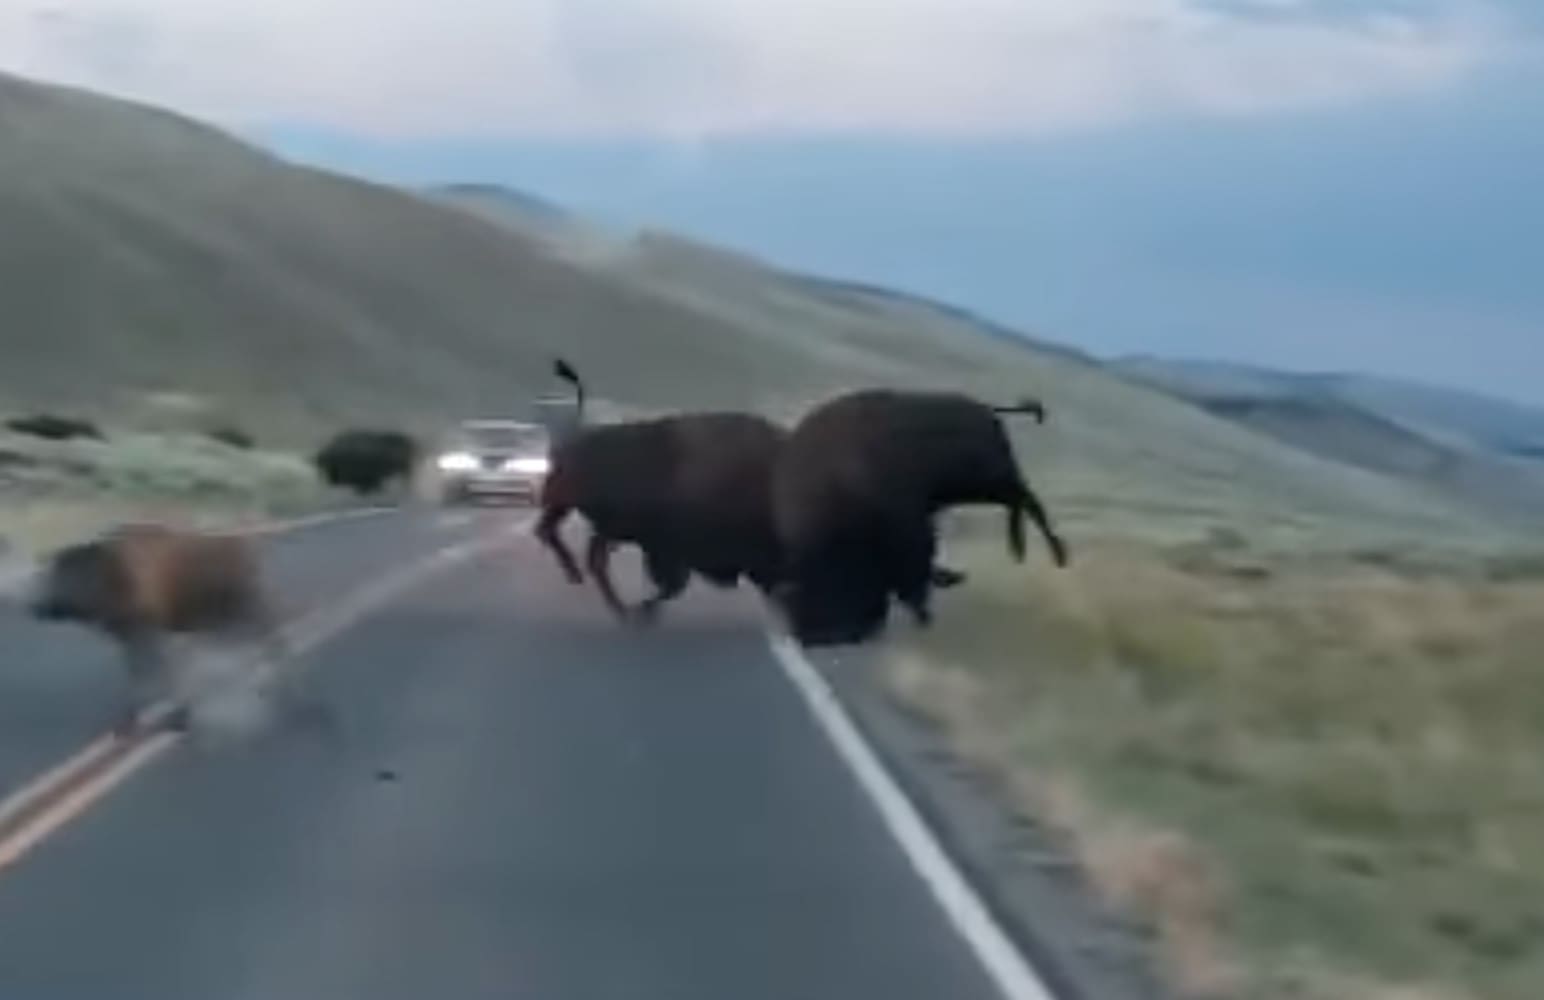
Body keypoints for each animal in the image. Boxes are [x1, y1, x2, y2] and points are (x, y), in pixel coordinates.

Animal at [28, 524, 292, 735]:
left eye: (68, 574)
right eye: (53, 572)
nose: (39, 607)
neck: (115, 574)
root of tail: (253, 554)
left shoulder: (148, 632)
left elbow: (156, 675)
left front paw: (166, 718)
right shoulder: (131, 637)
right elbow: (141, 674)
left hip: (250, 607)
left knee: (273, 637)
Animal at [771, 389, 1068, 647]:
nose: (810, 636)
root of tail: (985, 407)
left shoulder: (909, 529)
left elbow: (919, 570)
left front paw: (927, 609)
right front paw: (944, 586)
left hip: (992, 482)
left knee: (1028, 501)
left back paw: (1051, 554)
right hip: (978, 489)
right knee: (1022, 502)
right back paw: (1022, 551)